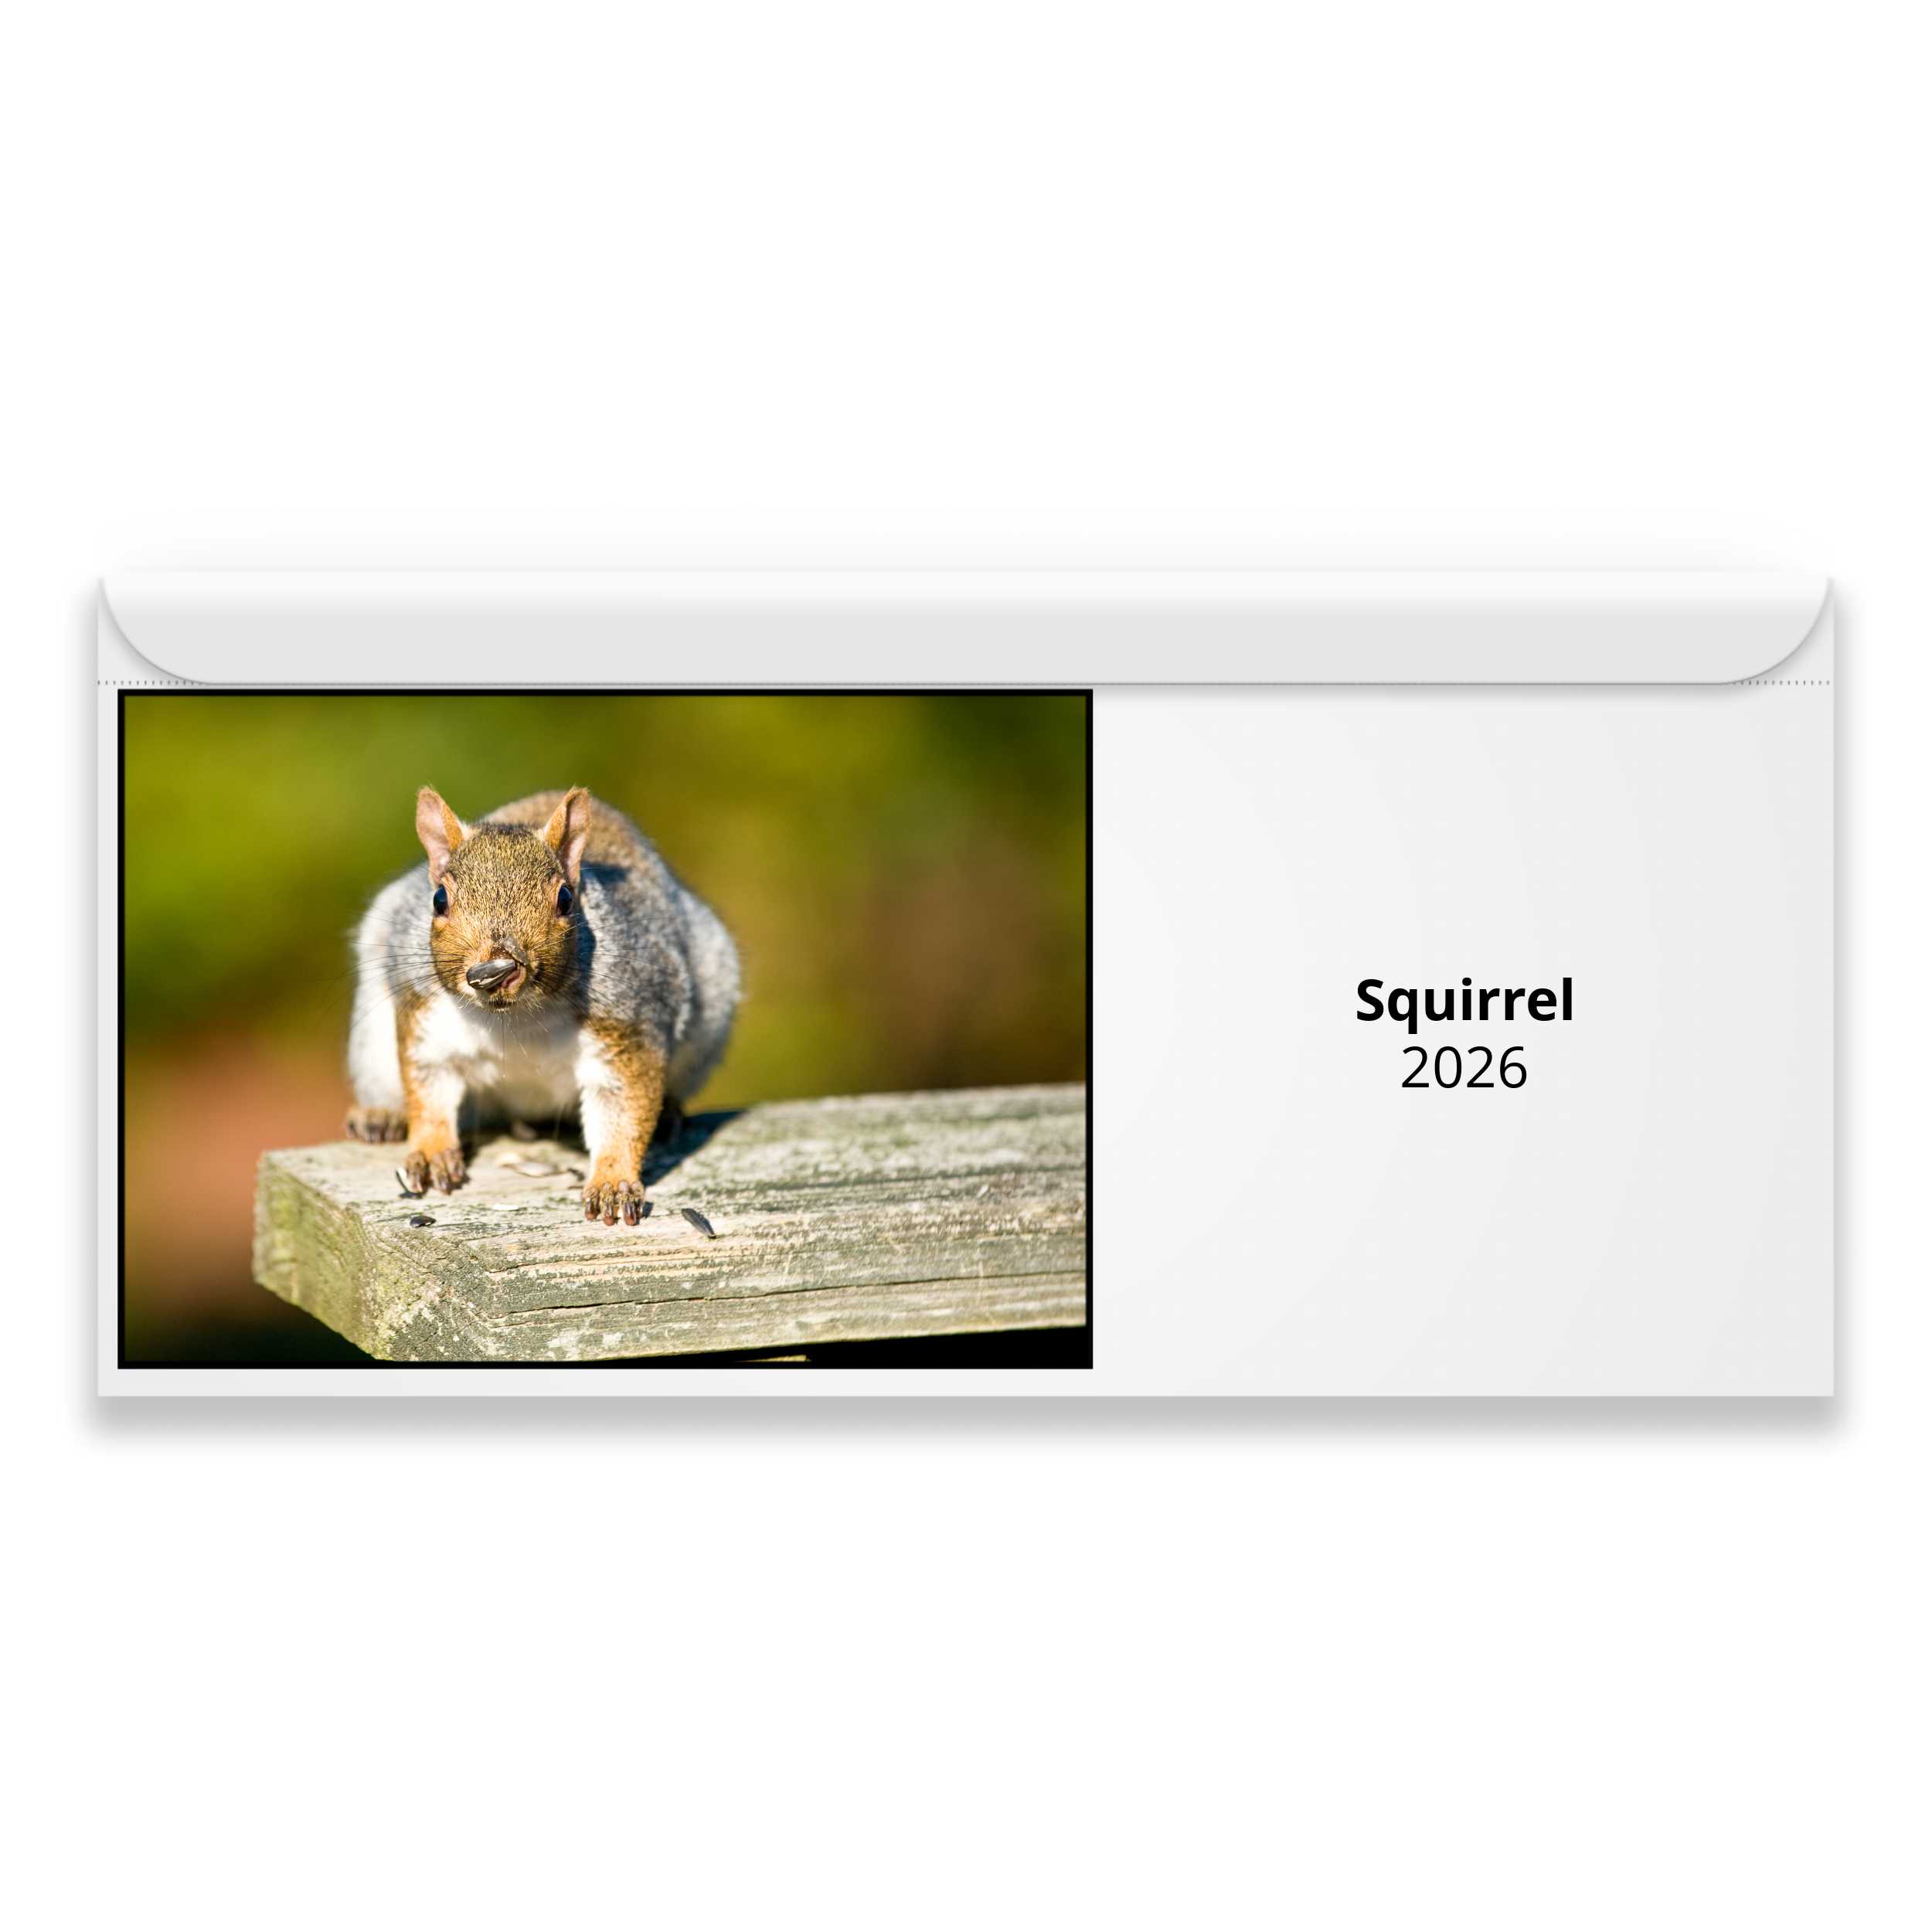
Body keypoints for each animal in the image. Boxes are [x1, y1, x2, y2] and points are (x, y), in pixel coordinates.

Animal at [346, 786, 740, 1226]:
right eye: (439, 899)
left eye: (565, 899)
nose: (497, 970)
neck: (514, 1019)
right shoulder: (426, 1022)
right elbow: (429, 1093)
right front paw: (431, 1153)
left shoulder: (630, 1023)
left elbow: (624, 1110)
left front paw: (613, 1182)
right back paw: (381, 1117)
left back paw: (669, 1113)